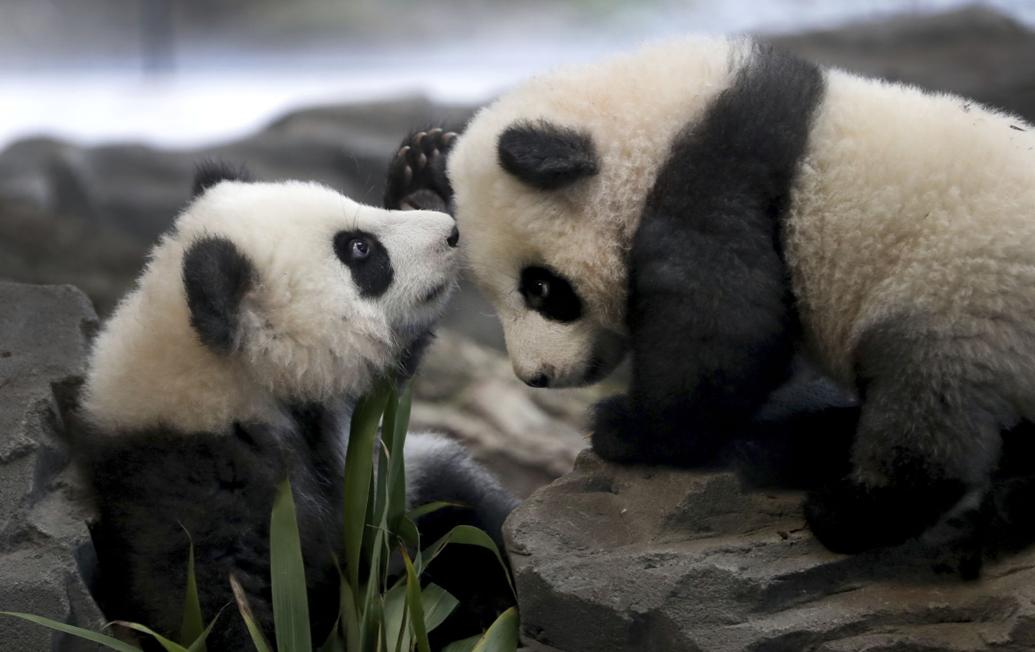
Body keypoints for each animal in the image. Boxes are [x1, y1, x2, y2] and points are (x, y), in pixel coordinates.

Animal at [78, 163, 516, 649]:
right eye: (359, 249)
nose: (452, 232)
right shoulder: (189, 489)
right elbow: (218, 600)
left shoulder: (354, 449)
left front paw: (419, 176)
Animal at [383, 36, 1035, 558]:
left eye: (542, 288)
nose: (535, 376)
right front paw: (422, 174)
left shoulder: (718, 177)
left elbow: (726, 327)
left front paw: (628, 428)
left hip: (961, 291)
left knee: (928, 405)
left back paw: (849, 511)